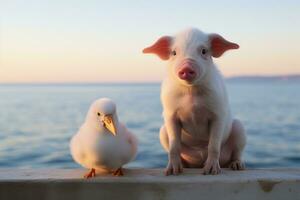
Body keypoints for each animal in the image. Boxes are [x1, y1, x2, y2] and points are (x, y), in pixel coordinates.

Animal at [143, 28, 246, 175]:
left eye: (203, 51)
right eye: (174, 52)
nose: (186, 67)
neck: (191, 93)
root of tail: (197, 163)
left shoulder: (219, 113)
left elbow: (214, 145)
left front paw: (211, 171)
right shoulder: (170, 114)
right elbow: (174, 147)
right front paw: (172, 172)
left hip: (239, 128)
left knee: (237, 152)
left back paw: (237, 166)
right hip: (162, 132)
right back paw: (183, 167)